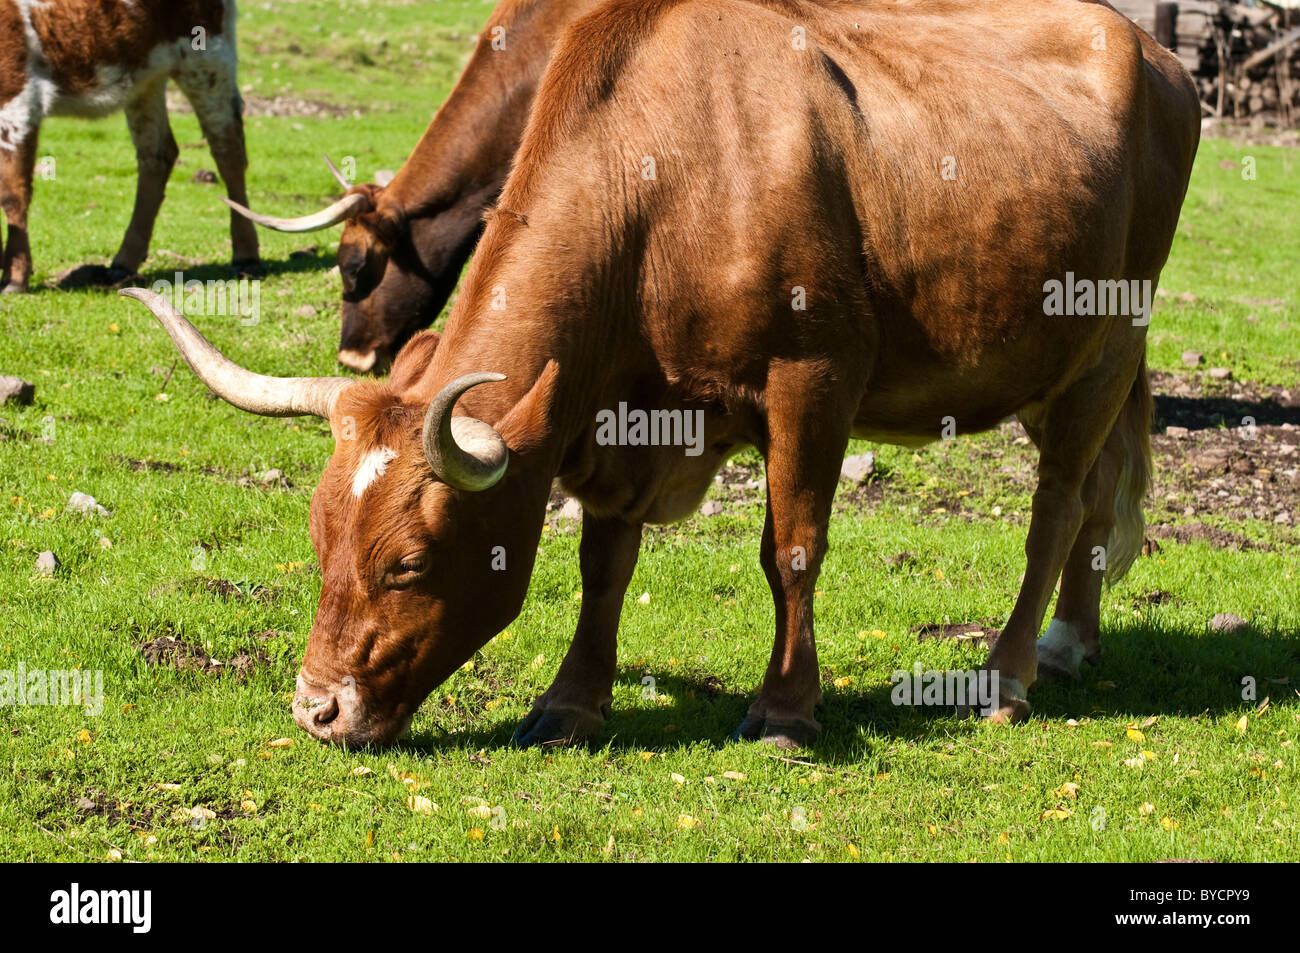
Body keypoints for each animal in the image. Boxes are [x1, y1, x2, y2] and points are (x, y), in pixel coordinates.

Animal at [0, 0, 257, 294]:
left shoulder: (18, 96)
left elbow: (13, 194)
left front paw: (14, 278)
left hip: (207, 57)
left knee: (228, 149)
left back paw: (246, 256)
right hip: (146, 75)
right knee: (158, 155)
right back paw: (124, 262)